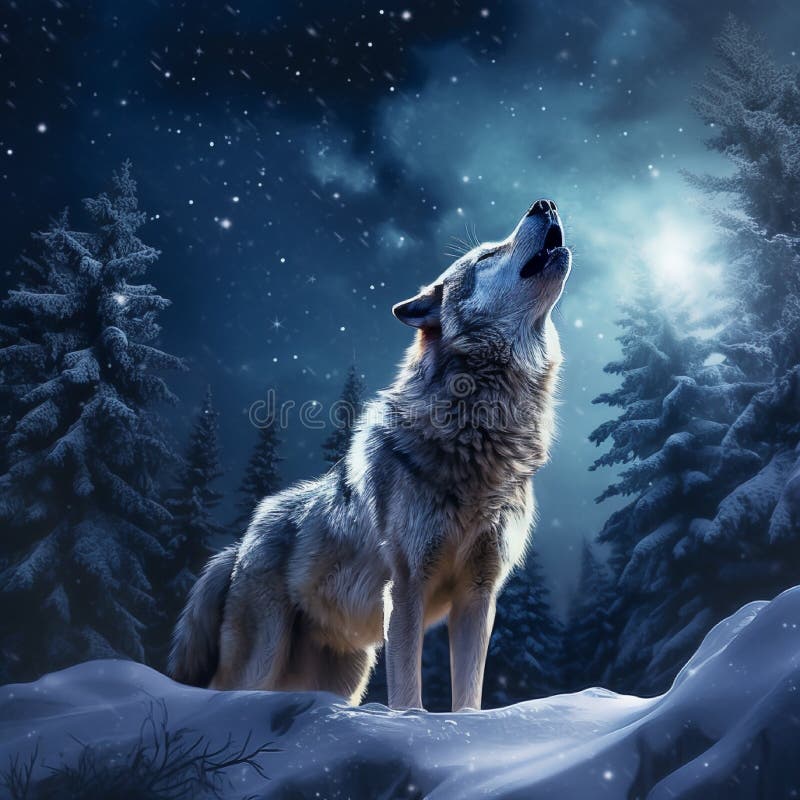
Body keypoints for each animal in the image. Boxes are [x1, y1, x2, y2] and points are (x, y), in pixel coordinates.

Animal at [169, 199, 571, 711]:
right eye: (486, 256)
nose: (545, 204)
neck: (479, 431)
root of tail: (236, 547)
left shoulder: (479, 597)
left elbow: (469, 697)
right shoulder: (406, 586)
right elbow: (408, 694)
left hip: (346, 677)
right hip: (259, 662)